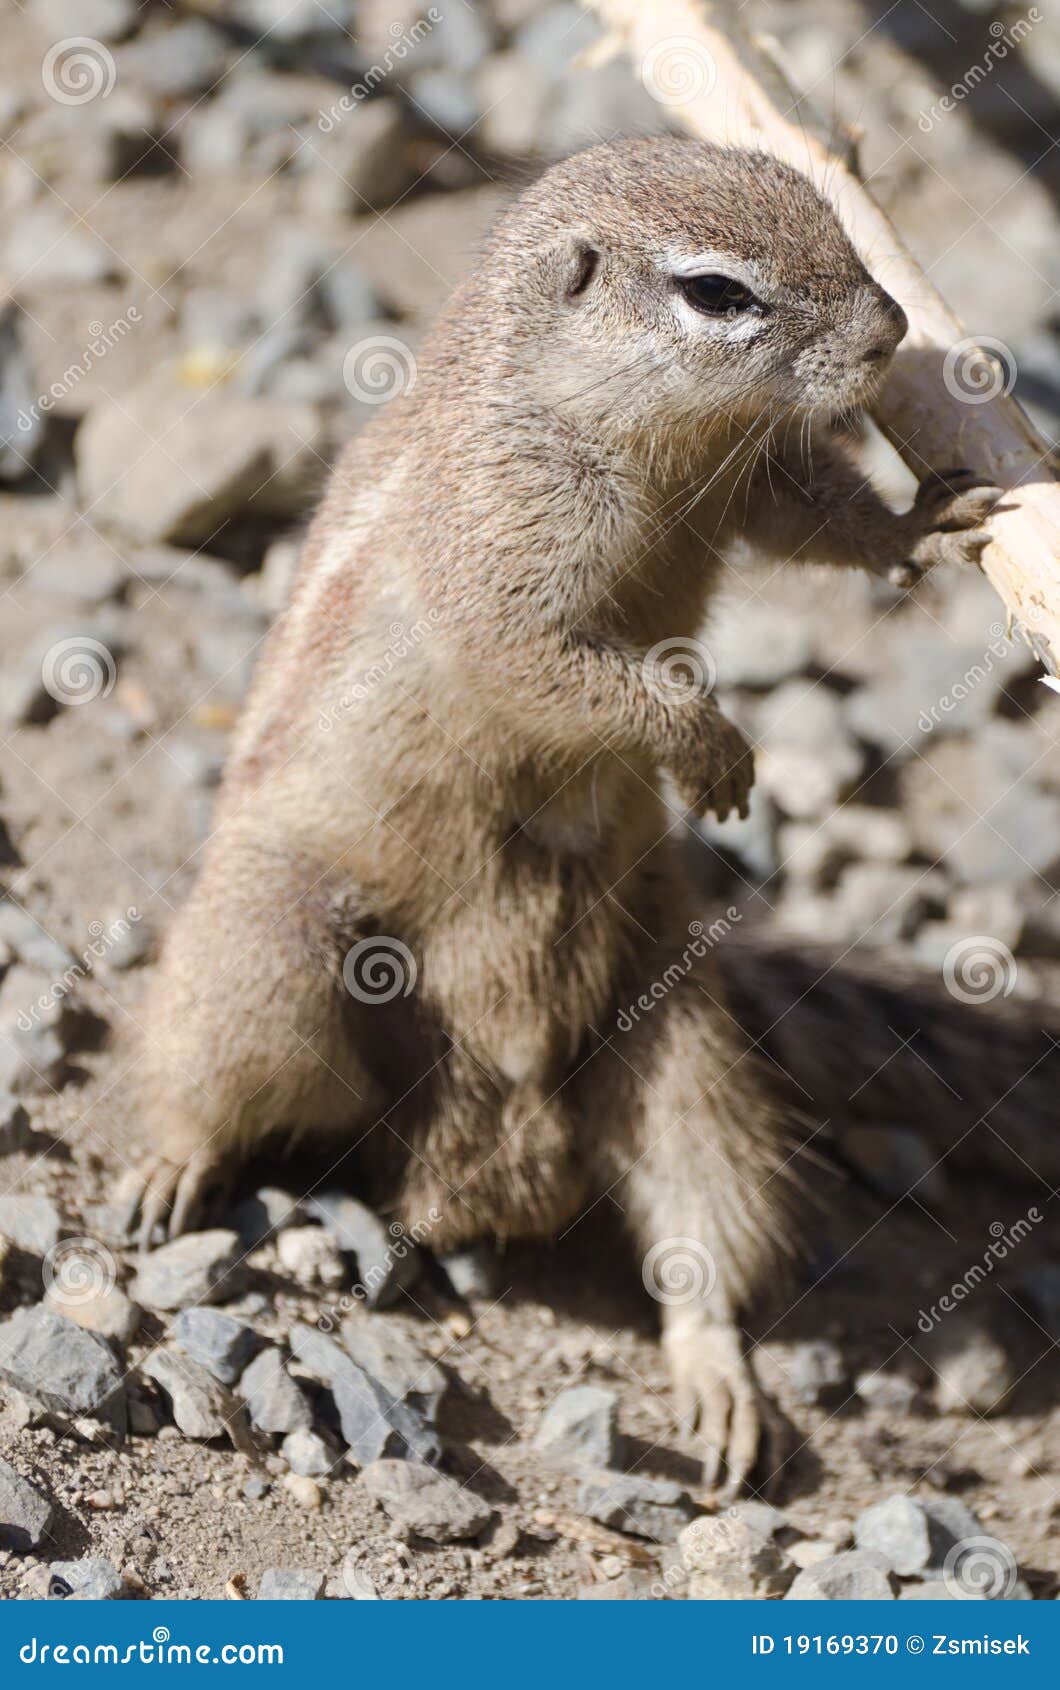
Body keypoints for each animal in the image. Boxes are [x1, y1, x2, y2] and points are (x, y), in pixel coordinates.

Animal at [123, 138, 1007, 1492]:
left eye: (831, 215)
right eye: (714, 292)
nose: (891, 332)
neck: (650, 440)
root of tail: (477, 1137)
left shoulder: (749, 475)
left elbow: (822, 517)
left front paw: (925, 518)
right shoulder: (503, 551)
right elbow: (555, 669)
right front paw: (706, 745)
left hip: (672, 1024)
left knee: (703, 1219)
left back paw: (716, 1384)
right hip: (269, 945)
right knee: (210, 1065)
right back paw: (169, 1165)